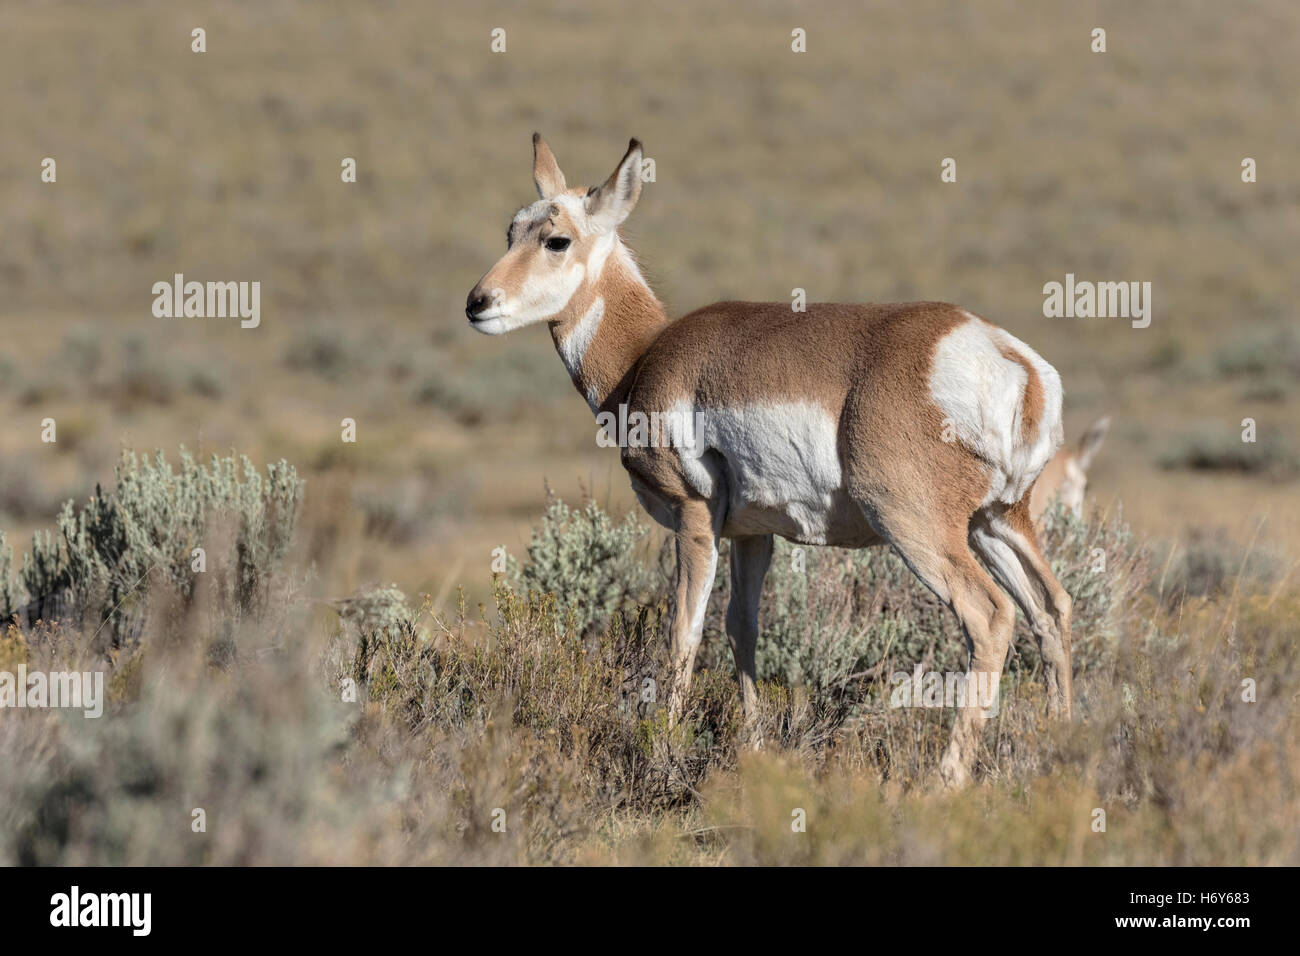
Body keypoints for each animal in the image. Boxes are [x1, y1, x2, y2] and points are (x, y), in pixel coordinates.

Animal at [466, 135, 1074, 786]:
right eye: (511, 230)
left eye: (556, 238)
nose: (477, 303)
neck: (644, 355)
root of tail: (1009, 359)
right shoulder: (752, 535)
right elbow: (742, 628)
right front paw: (755, 746)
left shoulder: (694, 516)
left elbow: (684, 632)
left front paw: (659, 751)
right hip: (998, 522)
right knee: (1051, 609)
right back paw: (1062, 751)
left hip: (917, 526)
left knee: (990, 616)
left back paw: (945, 781)